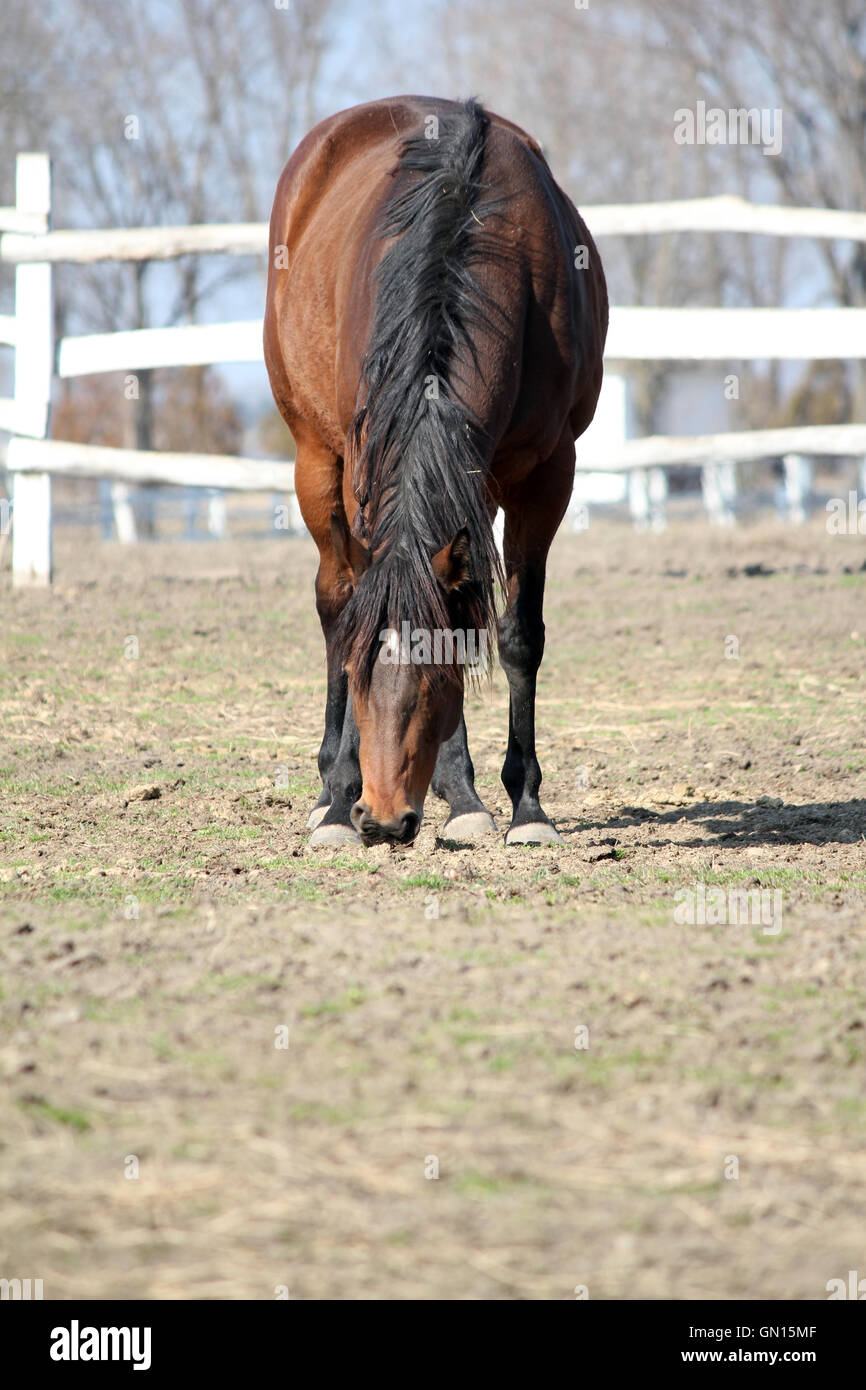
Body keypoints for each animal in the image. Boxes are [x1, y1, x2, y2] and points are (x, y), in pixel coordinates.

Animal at [264, 96, 607, 848]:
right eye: (363, 677)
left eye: (435, 679)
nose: (383, 819)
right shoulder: (364, 463)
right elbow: (352, 615)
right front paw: (341, 796)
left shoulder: (548, 474)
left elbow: (515, 633)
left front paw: (523, 805)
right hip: (315, 457)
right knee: (334, 600)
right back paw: (332, 790)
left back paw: (462, 795)